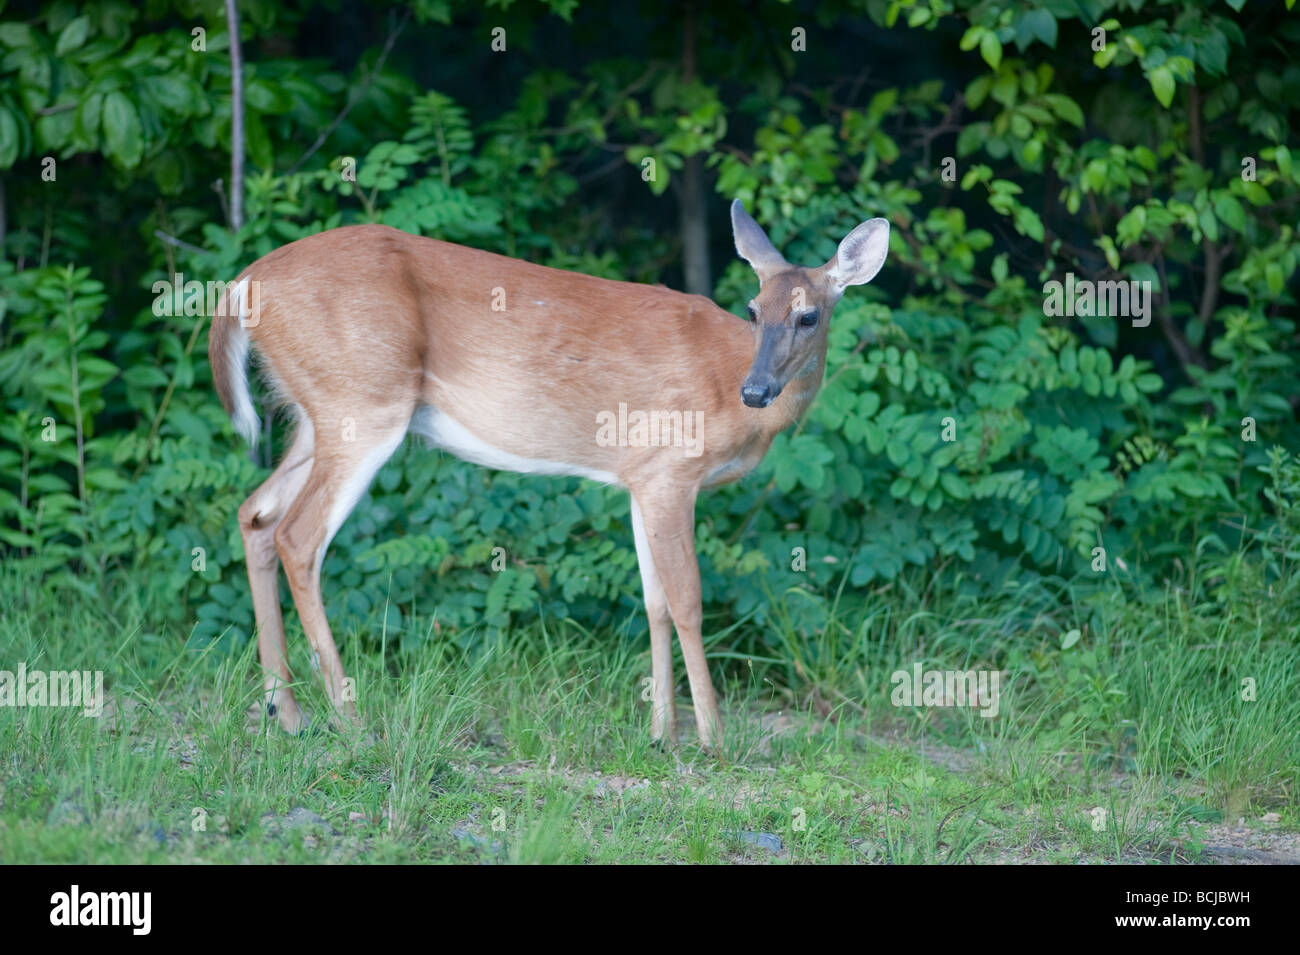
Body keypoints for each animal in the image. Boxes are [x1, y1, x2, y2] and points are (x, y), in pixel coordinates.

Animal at [208, 199, 890, 748]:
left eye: (808, 316)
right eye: (753, 308)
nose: (757, 390)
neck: (724, 379)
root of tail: (244, 284)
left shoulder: (640, 480)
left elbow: (653, 602)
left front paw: (661, 734)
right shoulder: (671, 470)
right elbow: (689, 601)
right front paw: (713, 739)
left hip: (316, 414)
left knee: (256, 515)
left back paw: (286, 713)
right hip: (363, 403)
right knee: (299, 537)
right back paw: (349, 719)